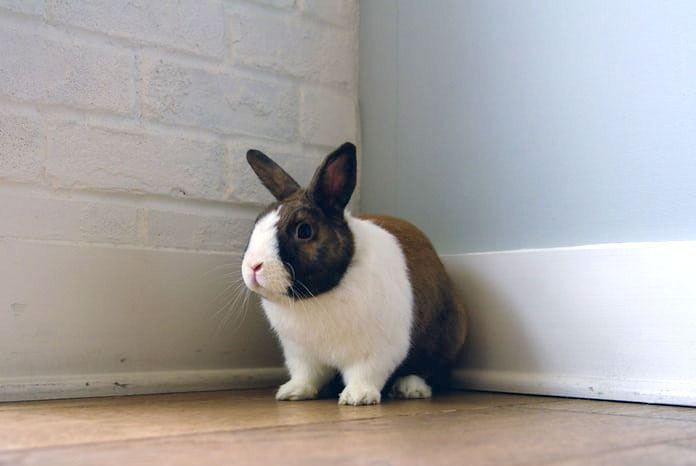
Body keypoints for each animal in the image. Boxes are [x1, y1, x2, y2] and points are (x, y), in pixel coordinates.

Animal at [241, 142, 467, 406]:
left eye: (304, 230)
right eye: (256, 224)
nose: (253, 266)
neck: (315, 298)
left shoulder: (377, 350)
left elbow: (365, 373)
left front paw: (357, 397)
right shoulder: (301, 354)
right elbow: (306, 375)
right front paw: (292, 392)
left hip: (445, 339)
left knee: (429, 370)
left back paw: (410, 388)